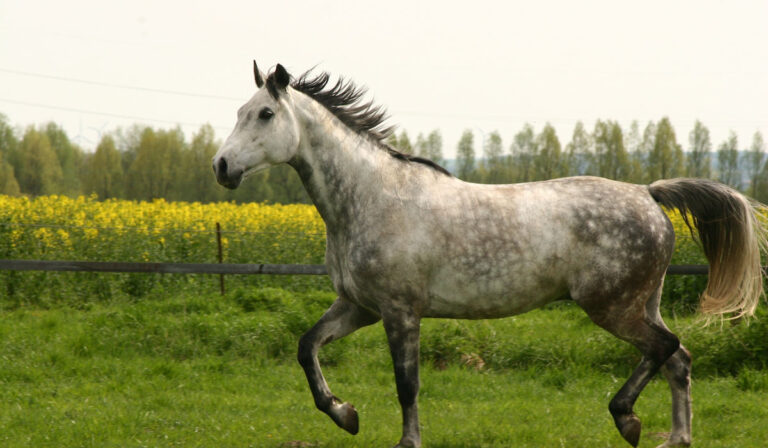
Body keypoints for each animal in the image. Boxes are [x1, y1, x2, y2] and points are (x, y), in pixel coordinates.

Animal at [212, 61, 766, 448]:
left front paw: (406, 439)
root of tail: (648, 194)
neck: (371, 197)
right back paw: (675, 438)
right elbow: (307, 347)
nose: (221, 166)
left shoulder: (399, 312)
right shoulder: (360, 307)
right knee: (679, 359)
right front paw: (345, 415)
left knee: (664, 348)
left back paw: (626, 418)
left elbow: (407, 384)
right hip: (641, 304)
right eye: (239, 112)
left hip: (613, 307)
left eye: (264, 114)